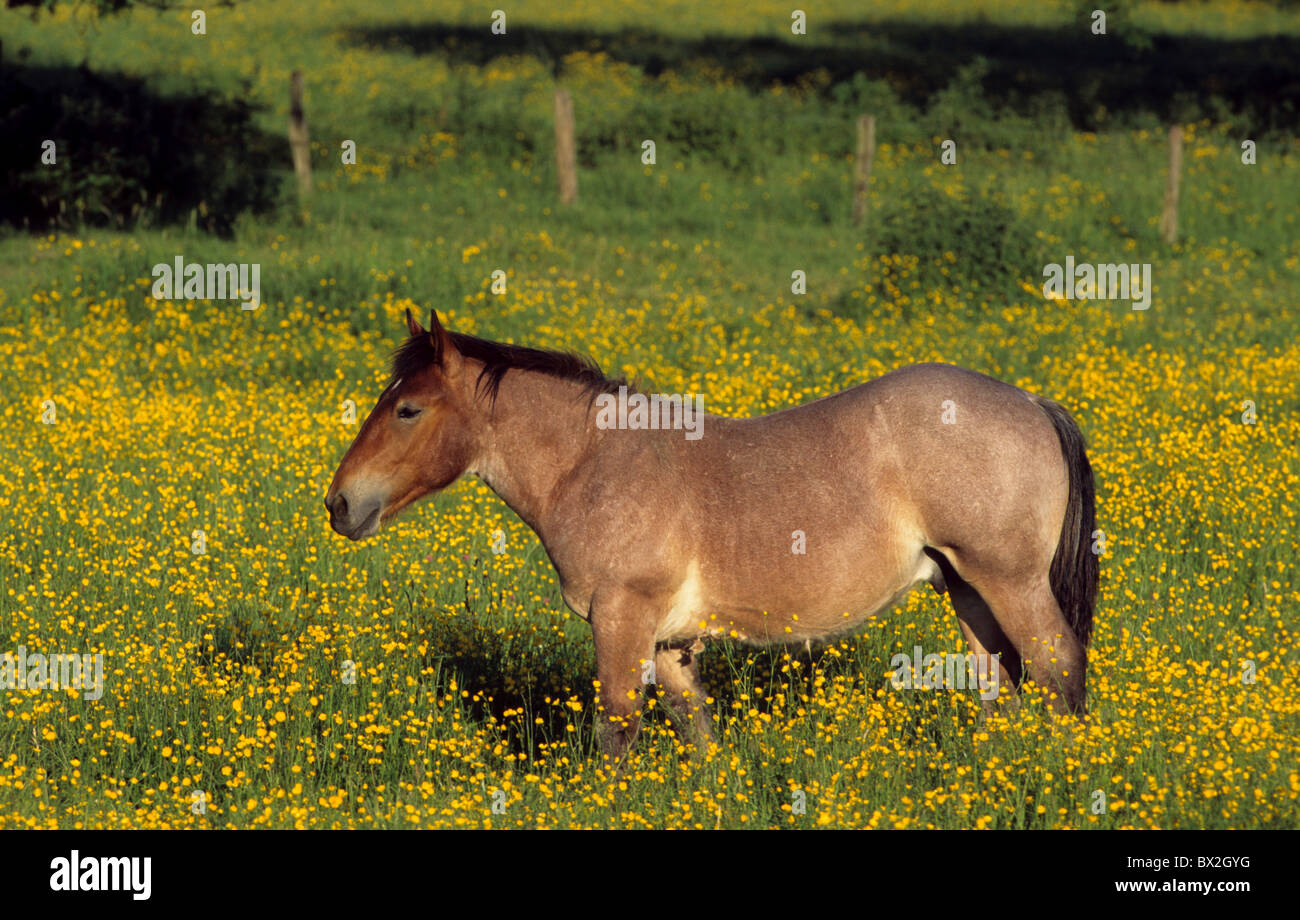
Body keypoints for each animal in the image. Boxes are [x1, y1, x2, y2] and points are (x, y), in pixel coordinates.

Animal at [326, 309, 1098, 760]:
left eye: (408, 409)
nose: (339, 503)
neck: (596, 460)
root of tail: (1032, 401)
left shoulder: (622, 618)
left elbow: (617, 727)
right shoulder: (670, 640)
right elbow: (696, 733)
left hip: (1008, 582)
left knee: (1057, 669)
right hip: (966, 588)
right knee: (998, 685)